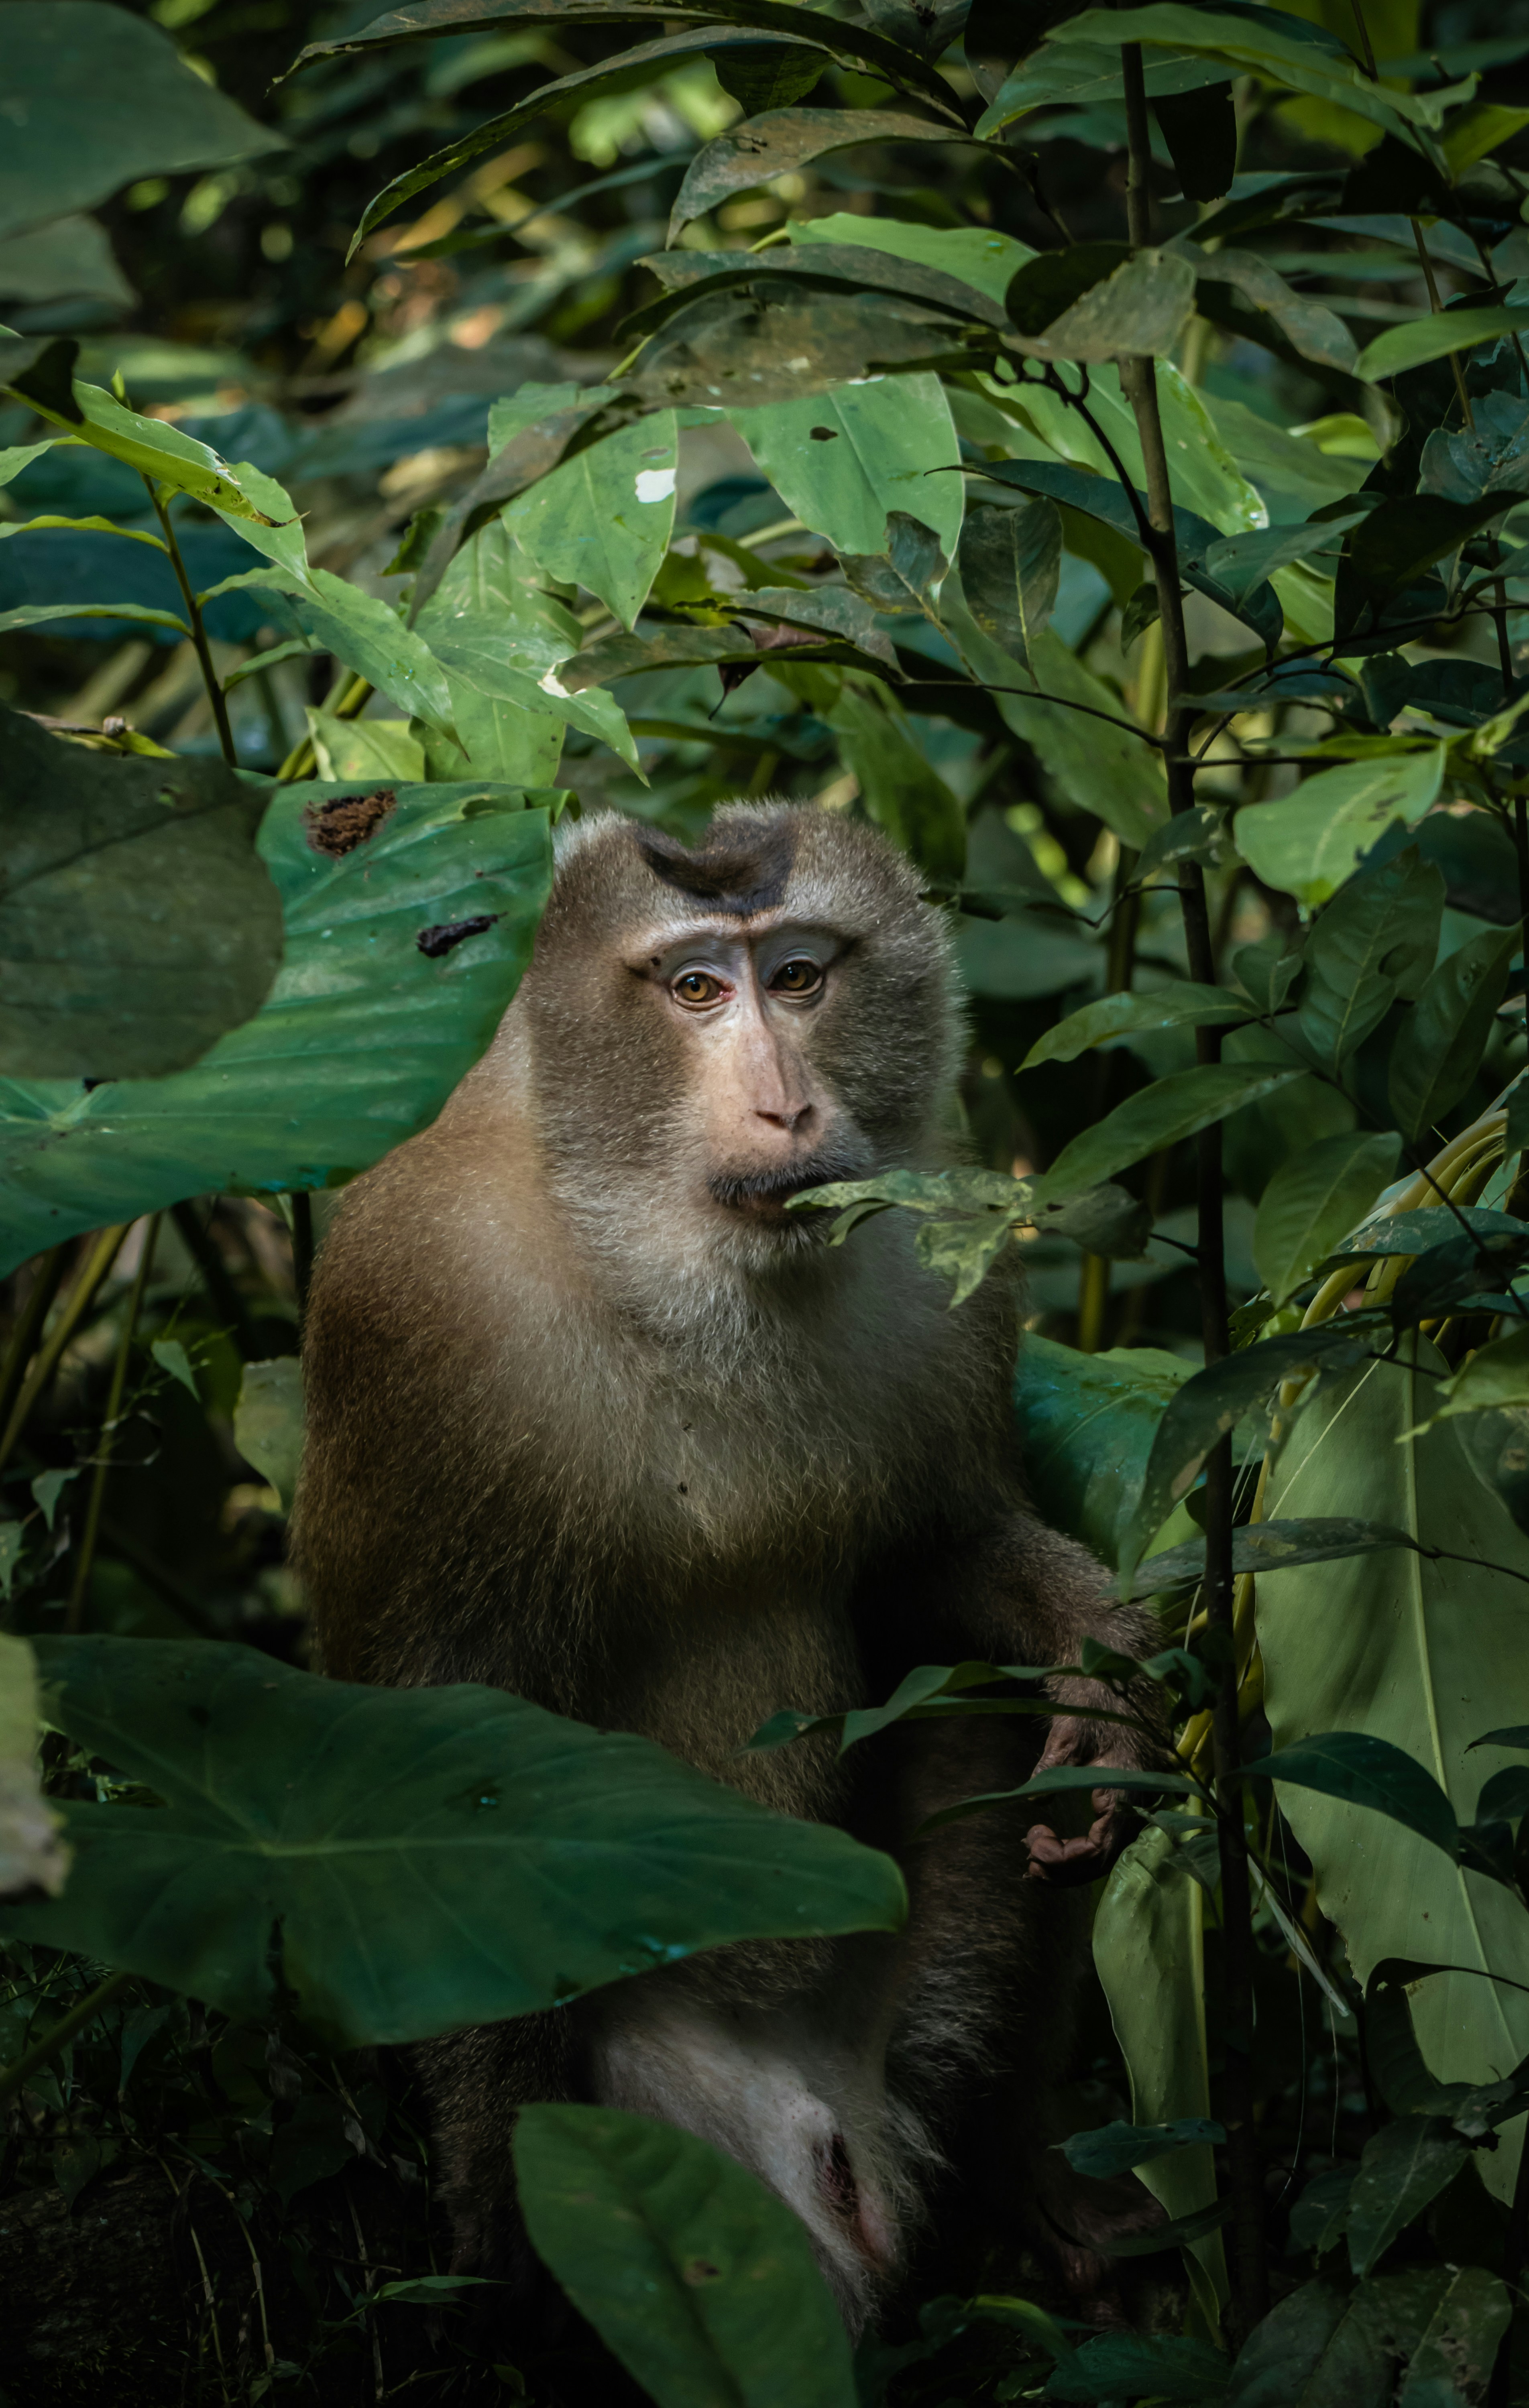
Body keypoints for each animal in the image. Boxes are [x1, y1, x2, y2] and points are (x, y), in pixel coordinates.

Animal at [292, 800, 1164, 2341]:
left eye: (800, 977)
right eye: (696, 987)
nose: (785, 1107)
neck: (660, 1261)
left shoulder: (945, 1251)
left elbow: (938, 1554)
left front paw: (1090, 1650)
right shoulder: (415, 1310)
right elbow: (443, 1758)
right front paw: (490, 2219)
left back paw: (1019, 2178)